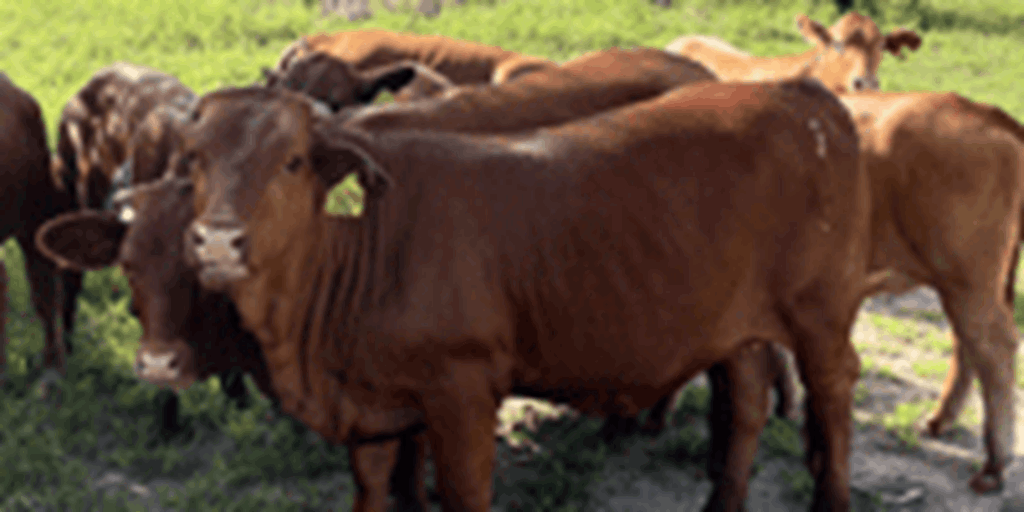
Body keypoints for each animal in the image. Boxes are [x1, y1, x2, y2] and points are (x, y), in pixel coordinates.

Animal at [181, 79, 873, 511]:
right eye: (194, 162)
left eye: (292, 161)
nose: (217, 242)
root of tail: (798, 92)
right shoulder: (371, 406)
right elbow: (371, 490)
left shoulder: (461, 390)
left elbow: (464, 493)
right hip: (737, 322)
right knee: (750, 400)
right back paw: (720, 502)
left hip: (821, 312)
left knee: (833, 392)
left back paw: (830, 499)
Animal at [835, 91, 1024, 494]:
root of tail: (977, 108)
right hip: (965, 284)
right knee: (967, 342)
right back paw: (941, 420)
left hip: (968, 280)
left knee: (993, 347)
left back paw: (994, 464)